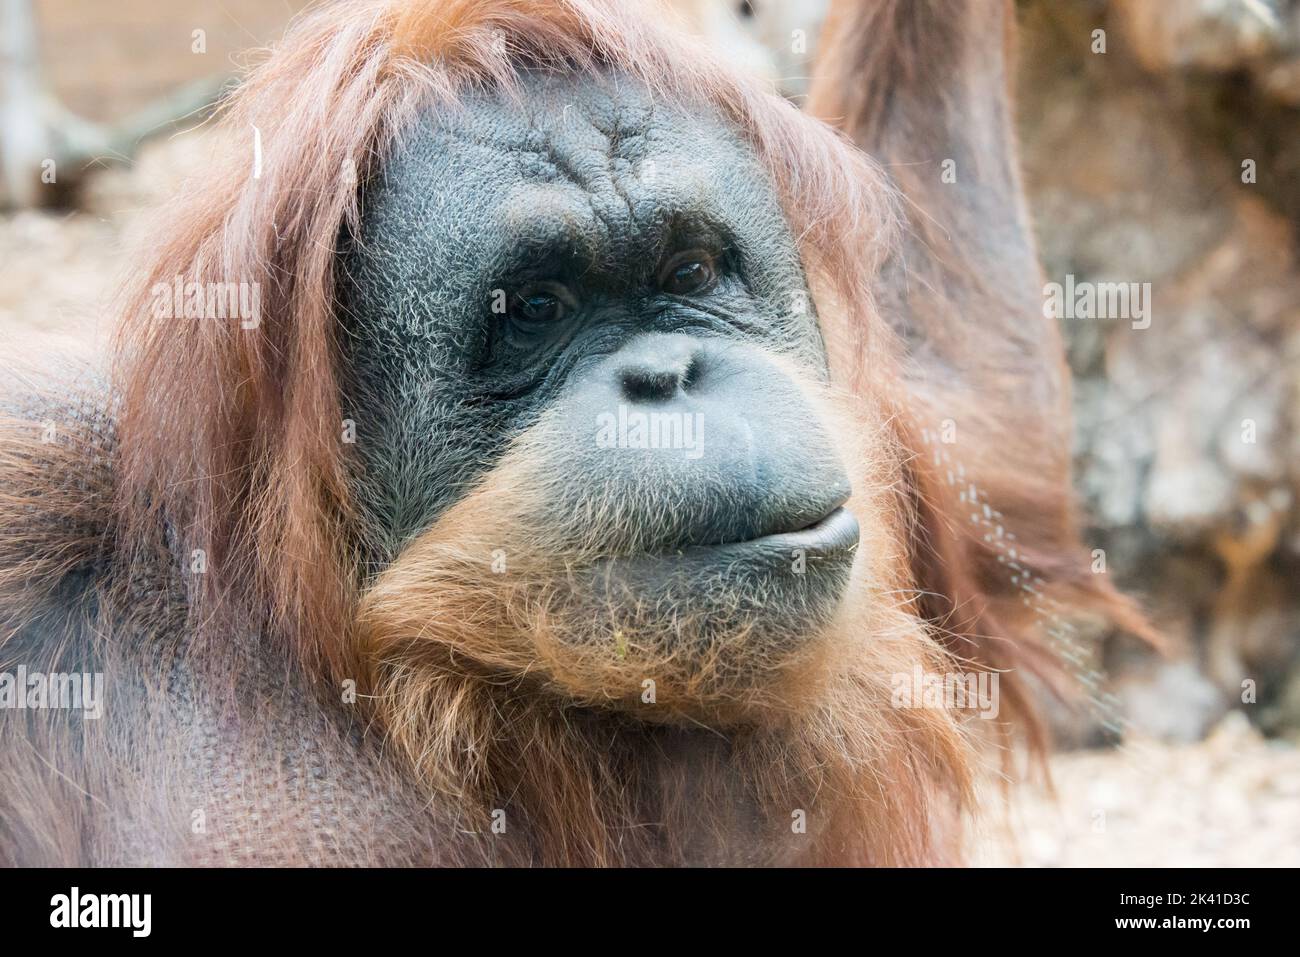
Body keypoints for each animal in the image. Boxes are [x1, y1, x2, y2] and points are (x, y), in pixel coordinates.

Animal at [0, 0, 1145, 866]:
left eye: (690, 271)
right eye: (536, 309)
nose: (668, 373)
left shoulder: (879, 434)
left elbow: (983, 424)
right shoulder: (46, 475)